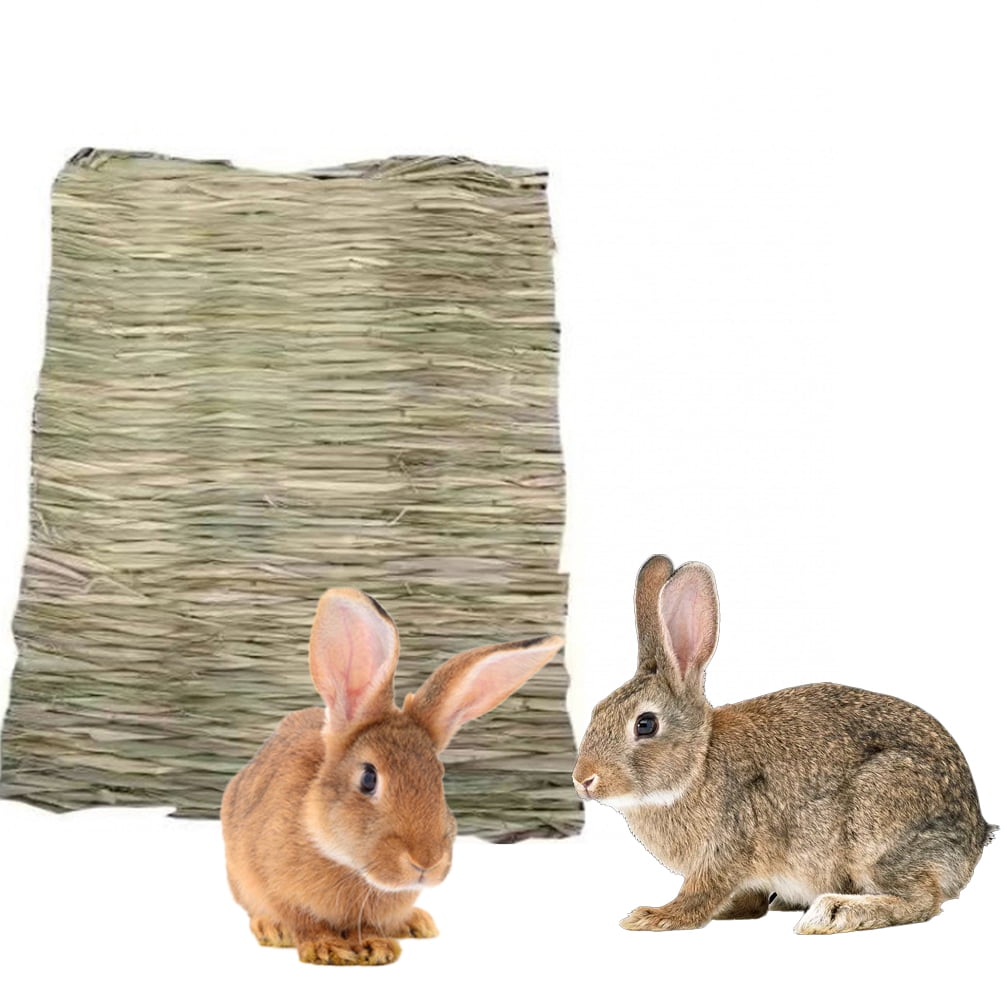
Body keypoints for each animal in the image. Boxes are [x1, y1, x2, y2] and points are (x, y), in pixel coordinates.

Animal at [222, 587, 563, 965]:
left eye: (439, 776)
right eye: (369, 778)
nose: (426, 862)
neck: (350, 866)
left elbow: (371, 926)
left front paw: (376, 947)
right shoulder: (277, 887)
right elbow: (306, 922)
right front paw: (328, 949)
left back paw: (416, 923)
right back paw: (272, 929)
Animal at [572, 555, 993, 935]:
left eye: (645, 724)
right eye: (597, 710)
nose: (583, 779)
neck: (698, 764)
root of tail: (974, 835)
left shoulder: (726, 848)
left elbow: (700, 894)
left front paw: (653, 916)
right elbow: (746, 900)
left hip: (878, 825)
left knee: (920, 901)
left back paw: (833, 912)